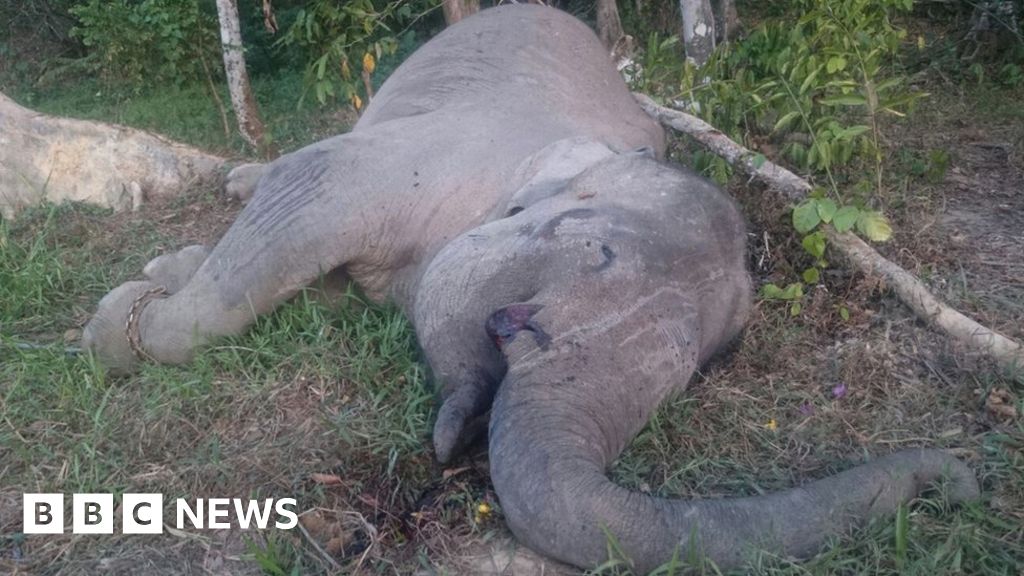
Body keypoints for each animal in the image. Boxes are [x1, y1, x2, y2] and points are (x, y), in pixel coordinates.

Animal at [83, 5, 979, 573]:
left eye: (696, 368)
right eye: (598, 254)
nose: (962, 479)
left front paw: (157, 279)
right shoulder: (422, 162)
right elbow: (312, 193)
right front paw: (115, 326)